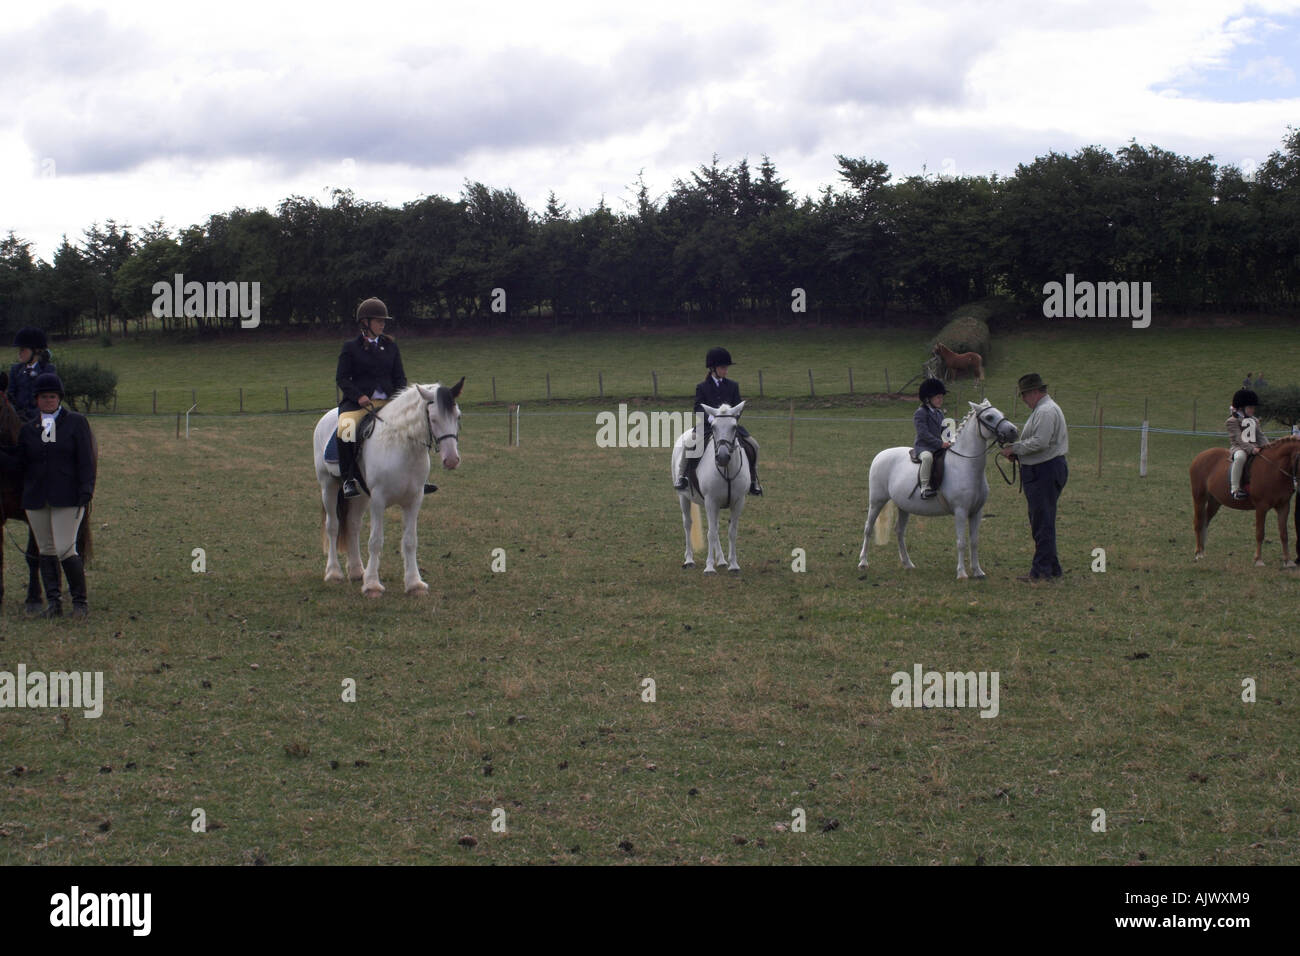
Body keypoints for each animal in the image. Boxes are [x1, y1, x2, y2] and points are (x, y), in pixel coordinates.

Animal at [313, 379, 462, 597]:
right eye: (433, 419)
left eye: (458, 416)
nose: (451, 460)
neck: (401, 446)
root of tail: (327, 416)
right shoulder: (378, 501)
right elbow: (375, 541)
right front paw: (372, 585)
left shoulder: (414, 500)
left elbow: (410, 541)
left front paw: (414, 583)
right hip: (328, 486)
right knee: (333, 526)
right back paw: (334, 573)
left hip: (360, 496)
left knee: (352, 525)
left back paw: (357, 571)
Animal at [671, 402, 750, 574]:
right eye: (713, 427)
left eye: (734, 426)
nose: (722, 457)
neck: (727, 470)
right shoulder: (710, 501)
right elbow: (711, 533)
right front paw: (709, 567)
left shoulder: (738, 502)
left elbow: (731, 532)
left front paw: (733, 564)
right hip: (683, 497)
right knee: (688, 524)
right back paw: (689, 560)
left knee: (716, 526)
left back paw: (721, 560)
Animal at [858, 399, 1018, 579]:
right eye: (989, 416)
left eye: (1001, 414)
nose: (1014, 431)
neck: (965, 464)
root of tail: (880, 455)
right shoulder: (961, 511)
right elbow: (961, 542)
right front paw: (962, 573)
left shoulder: (977, 512)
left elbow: (974, 542)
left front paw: (978, 571)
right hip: (877, 501)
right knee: (868, 528)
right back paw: (863, 562)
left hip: (903, 506)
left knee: (899, 531)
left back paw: (907, 563)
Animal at [1189, 436, 1300, 568]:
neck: (1274, 468)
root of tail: (1200, 456)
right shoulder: (1261, 507)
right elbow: (1260, 533)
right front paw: (1258, 560)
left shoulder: (1284, 506)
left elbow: (1284, 534)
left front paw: (1288, 561)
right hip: (1199, 498)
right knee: (1198, 523)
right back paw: (1198, 553)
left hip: (1215, 501)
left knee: (1205, 521)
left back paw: (1202, 549)